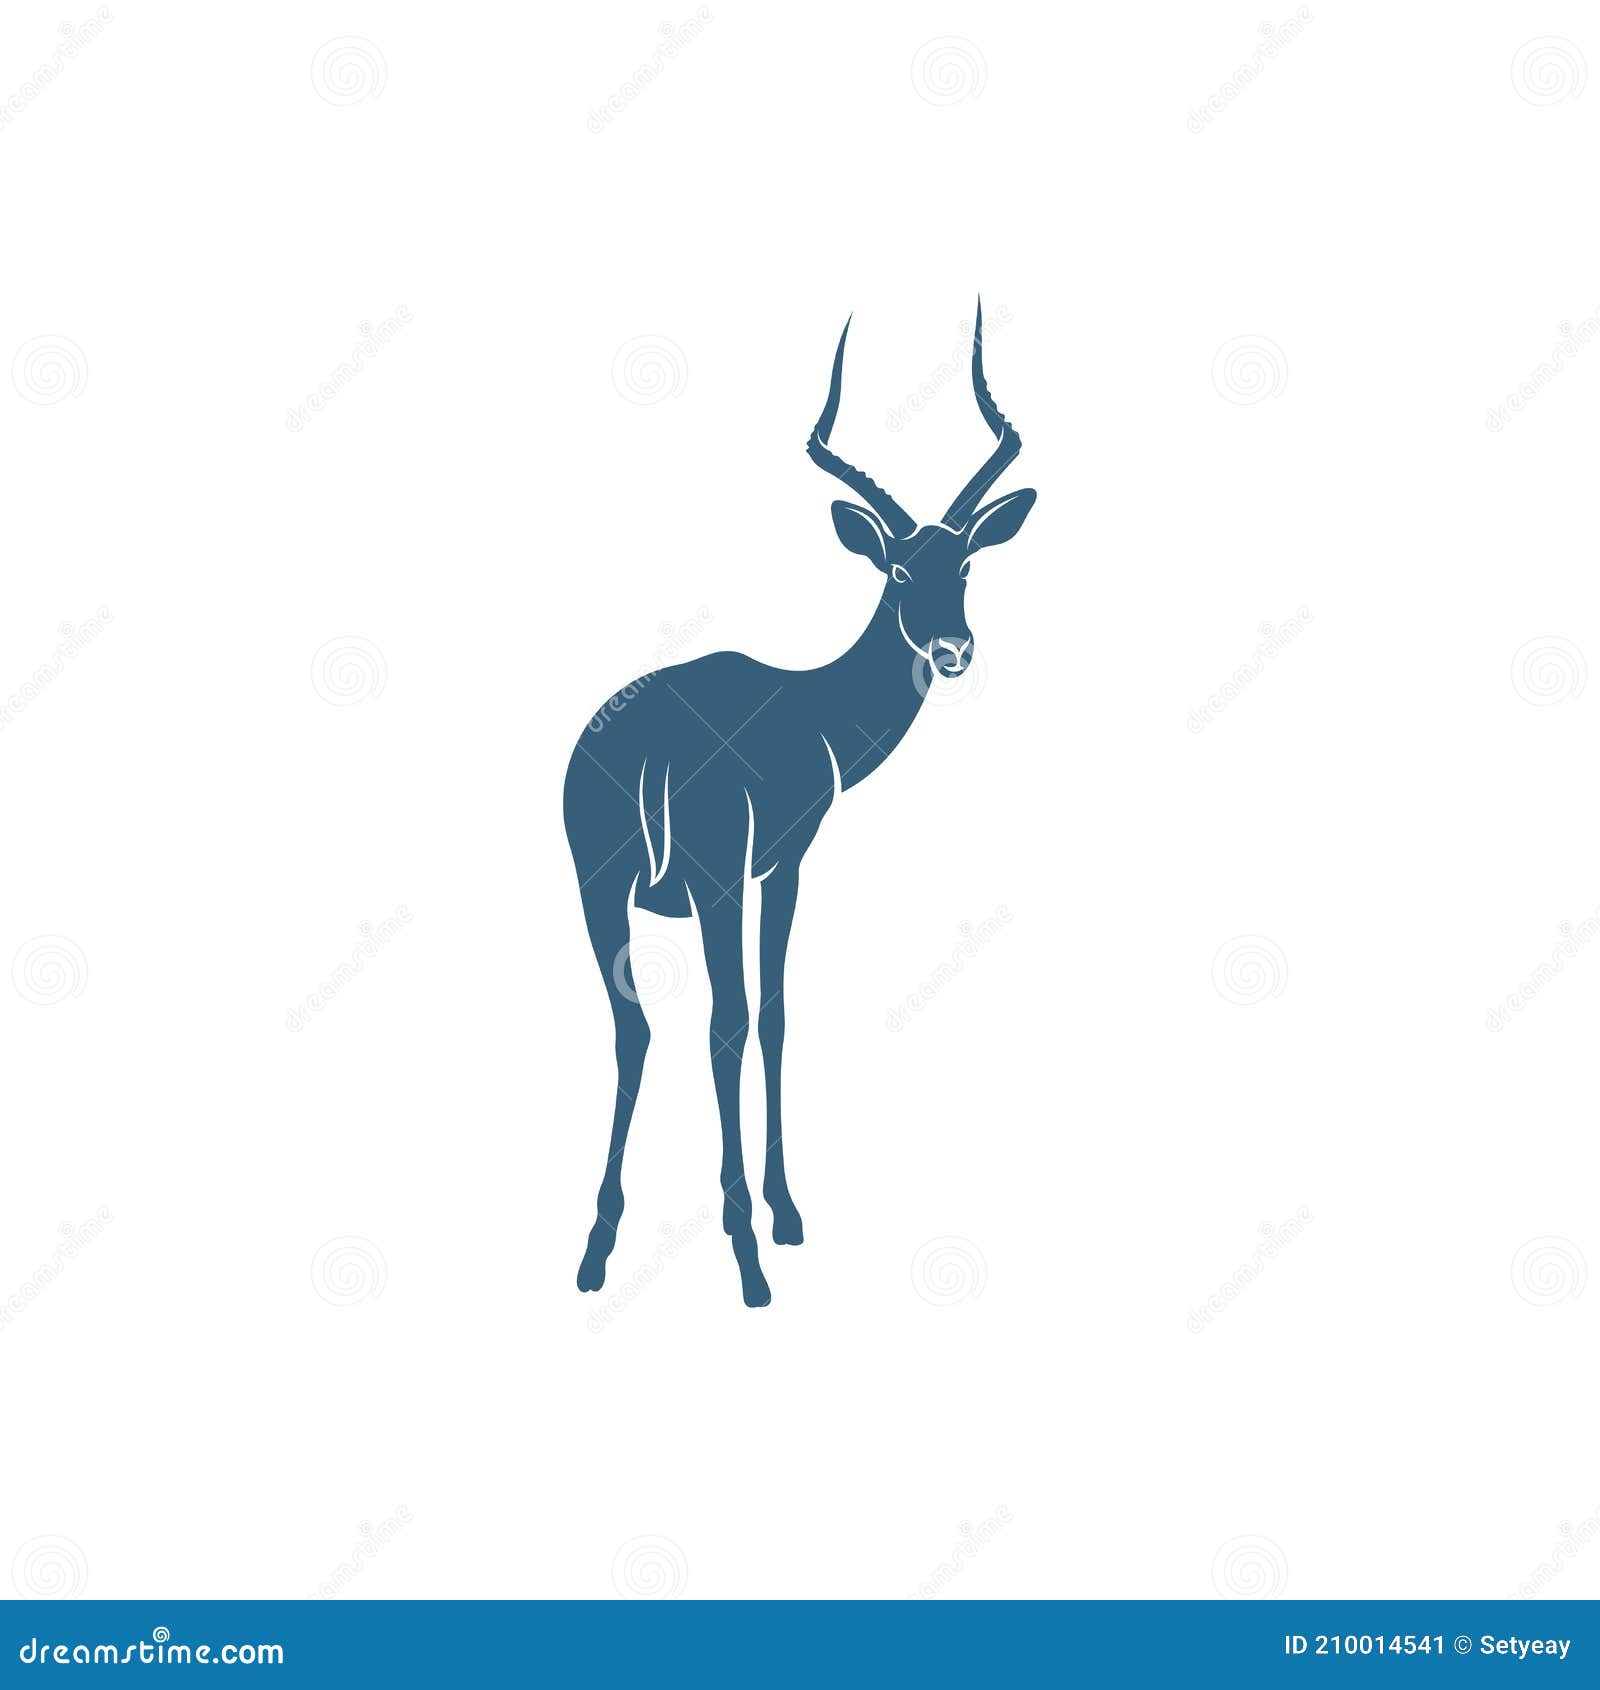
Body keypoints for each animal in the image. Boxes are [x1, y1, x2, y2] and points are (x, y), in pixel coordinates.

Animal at [563, 302, 1036, 1306]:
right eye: (898, 571)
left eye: (966, 565)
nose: (953, 650)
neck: (808, 707)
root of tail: (646, 740)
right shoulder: (768, 865)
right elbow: (757, 1018)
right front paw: (771, 1223)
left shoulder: (769, 870)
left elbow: (779, 1014)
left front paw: (786, 1211)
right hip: (701, 885)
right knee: (714, 1026)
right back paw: (738, 1258)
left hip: (600, 883)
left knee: (635, 1025)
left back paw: (597, 1247)